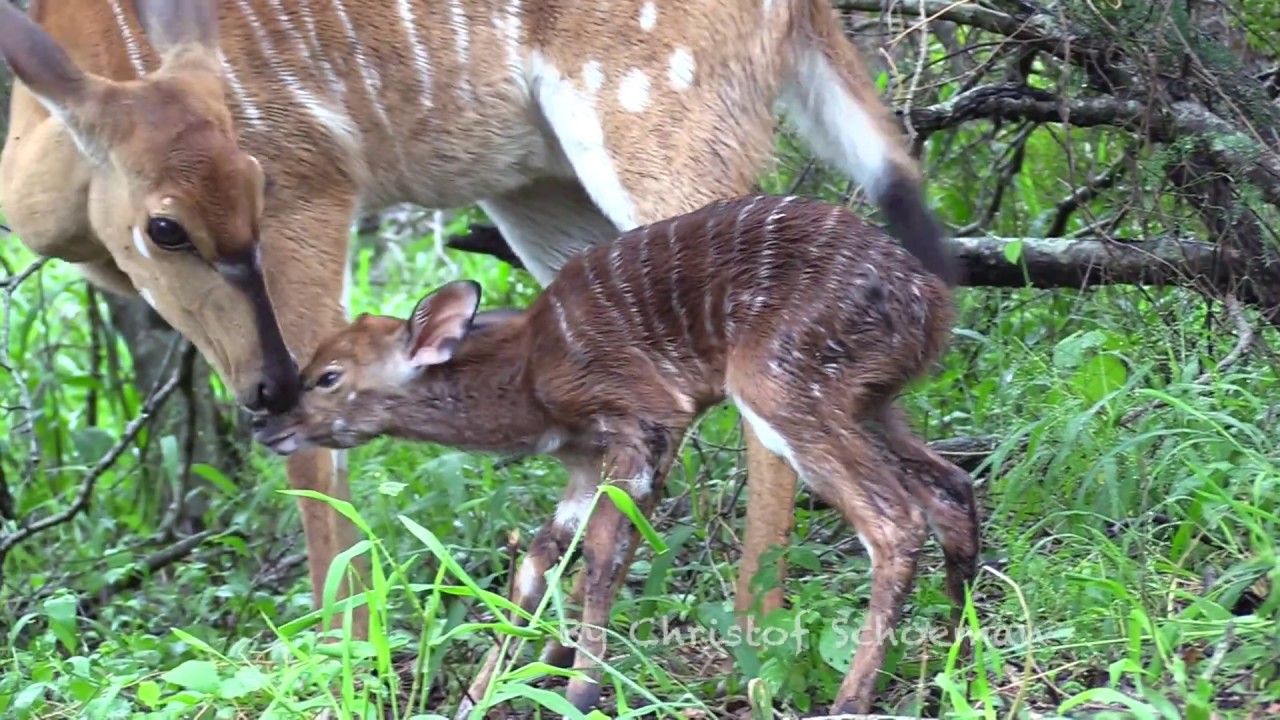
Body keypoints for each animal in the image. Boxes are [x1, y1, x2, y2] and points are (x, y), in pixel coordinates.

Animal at [0, 0, 956, 642]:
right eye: (166, 227)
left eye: (258, 185)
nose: (264, 388)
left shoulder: (314, 189)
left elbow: (319, 460)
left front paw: (342, 656)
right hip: (541, 182)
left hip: (654, 119)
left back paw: (758, 634)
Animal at [253, 194, 979, 715]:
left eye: (327, 376)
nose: (267, 423)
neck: (530, 380)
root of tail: (932, 301)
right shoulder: (584, 462)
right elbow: (540, 562)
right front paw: (482, 696)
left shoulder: (643, 418)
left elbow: (600, 557)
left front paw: (579, 691)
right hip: (870, 400)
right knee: (951, 484)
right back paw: (950, 661)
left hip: (781, 386)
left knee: (893, 520)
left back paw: (853, 699)